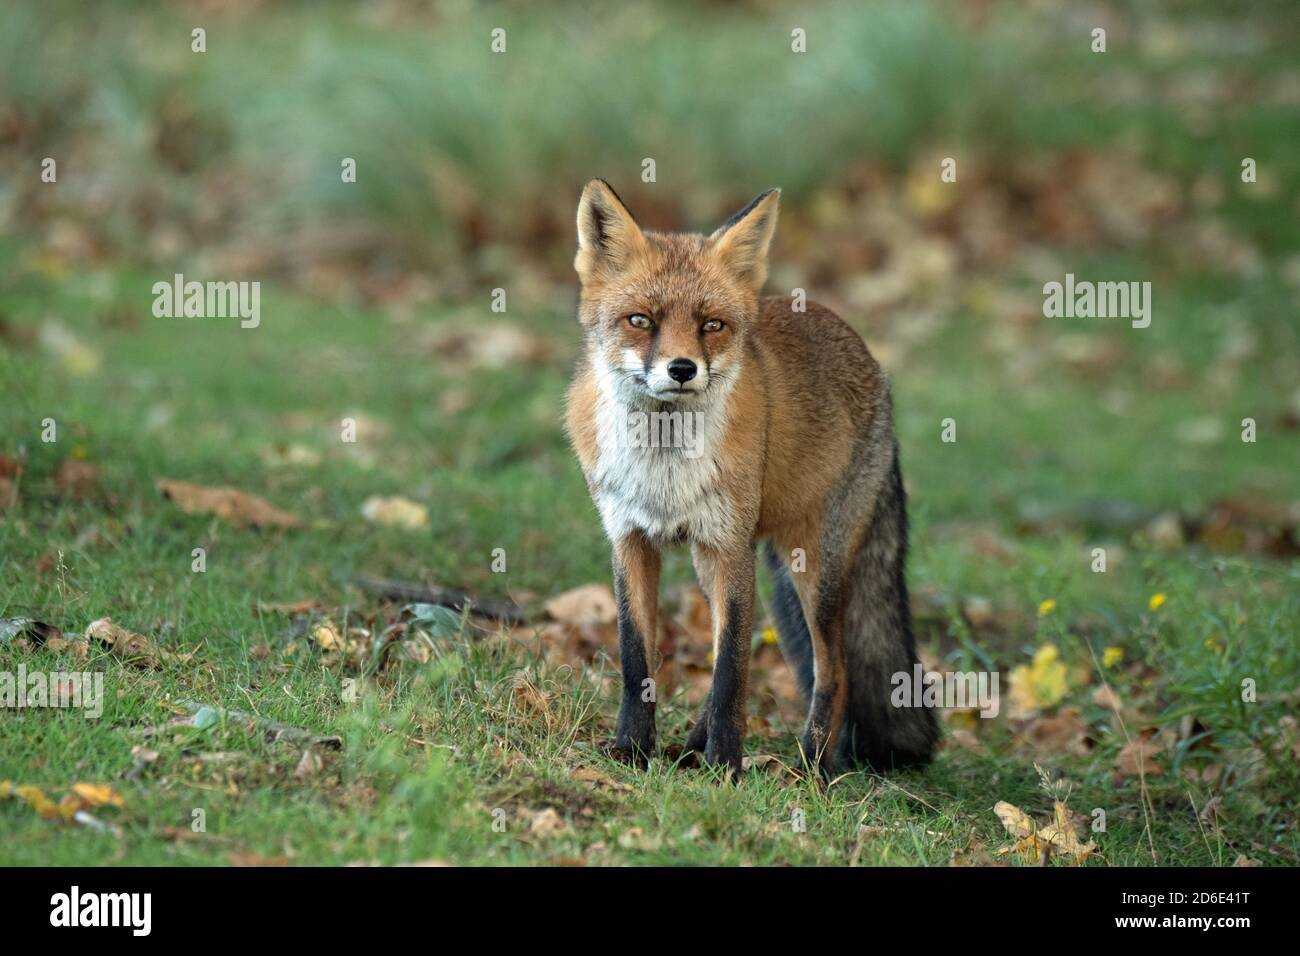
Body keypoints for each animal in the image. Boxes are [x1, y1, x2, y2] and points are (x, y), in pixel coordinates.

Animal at [564, 180, 938, 777]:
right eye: (641, 320)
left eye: (712, 325)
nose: (682, 369)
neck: (663, 463)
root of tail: (872, 360)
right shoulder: (631, 538)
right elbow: (636, 658)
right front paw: (633, 750)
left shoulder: (730, 544)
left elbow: (731, 673)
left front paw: (726, 767)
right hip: (720, 562)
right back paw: (693, 748)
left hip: (813, 568)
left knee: (835, 670)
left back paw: (809, 767)